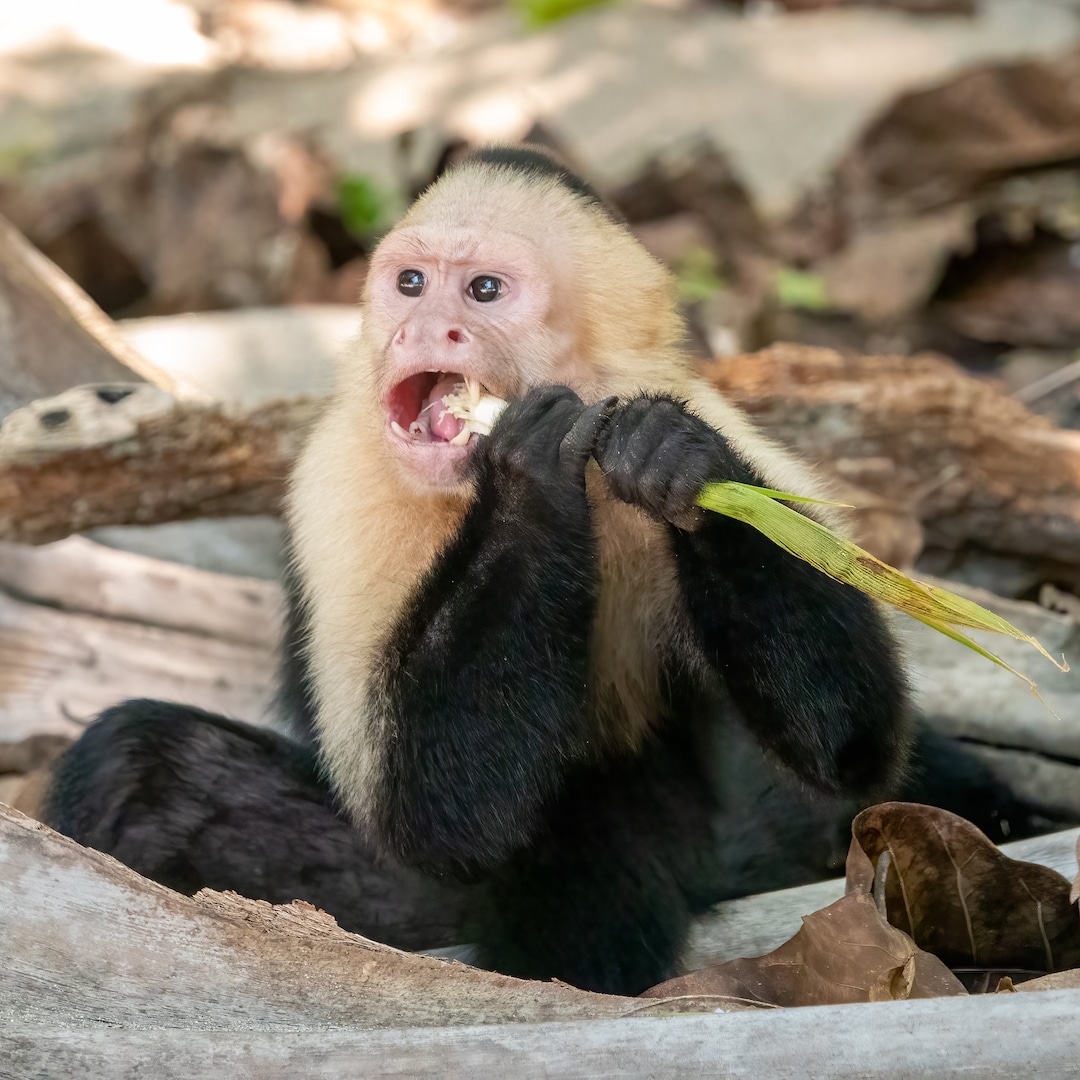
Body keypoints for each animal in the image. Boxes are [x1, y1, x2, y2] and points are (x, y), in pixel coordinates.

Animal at [43, 147, 1045, 996]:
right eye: (410, 282)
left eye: (484, 290)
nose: (426, 325)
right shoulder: (339, 481)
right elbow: (425, 816)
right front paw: (529, 465)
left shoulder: (720, 417)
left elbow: (854, 742)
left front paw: (669, 457)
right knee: (143, 767)